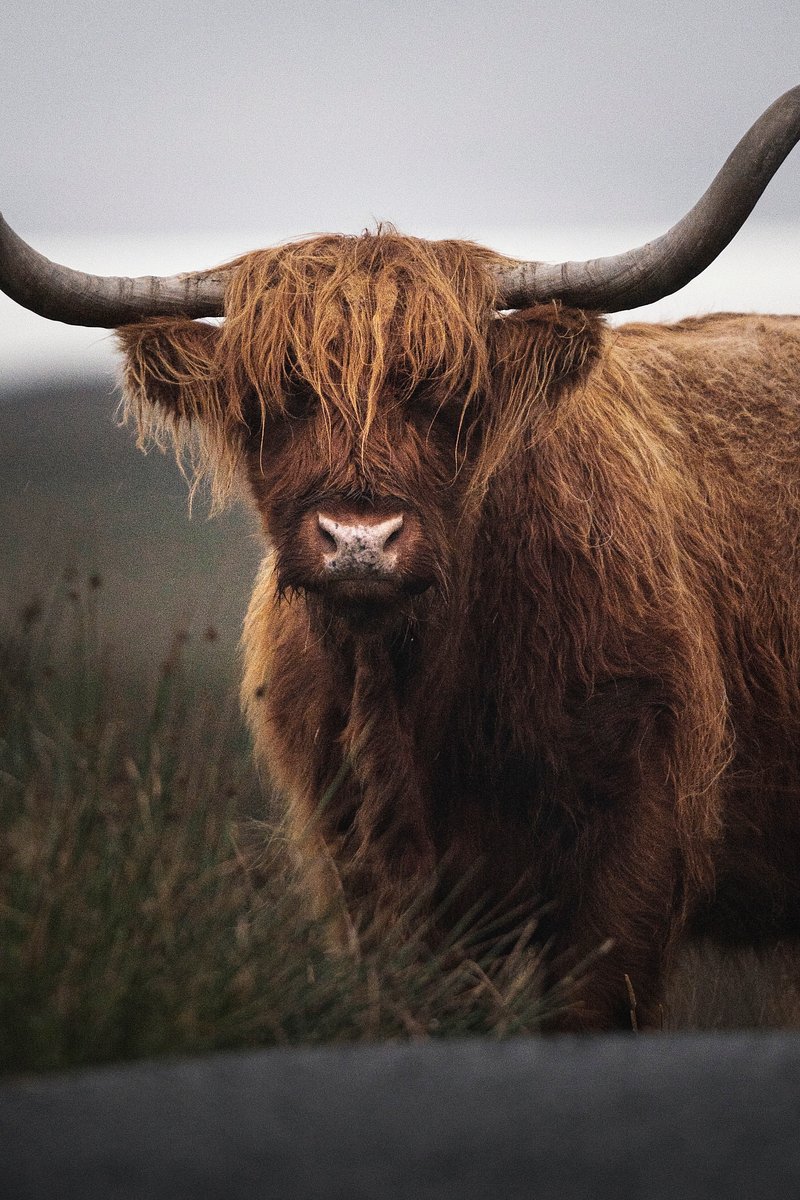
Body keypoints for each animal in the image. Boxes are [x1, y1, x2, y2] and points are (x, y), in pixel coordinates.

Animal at [2, 87, 800, 1030]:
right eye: (278, 399)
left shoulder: (638, 853)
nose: (359, 540)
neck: (414, 697)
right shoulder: (364, 875)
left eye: (444, 396)